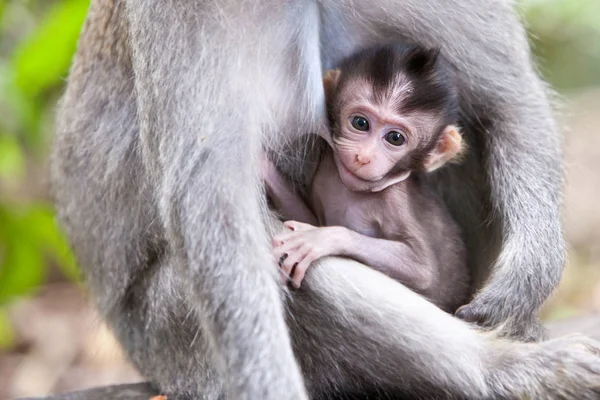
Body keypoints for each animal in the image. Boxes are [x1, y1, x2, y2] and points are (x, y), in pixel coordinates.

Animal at [264, 43, 472, 312]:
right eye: (360, 123)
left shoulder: (396, 200)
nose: (364, 157)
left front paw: (319, 238)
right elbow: (302, 219)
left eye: (395, 138)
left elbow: (423, 271)